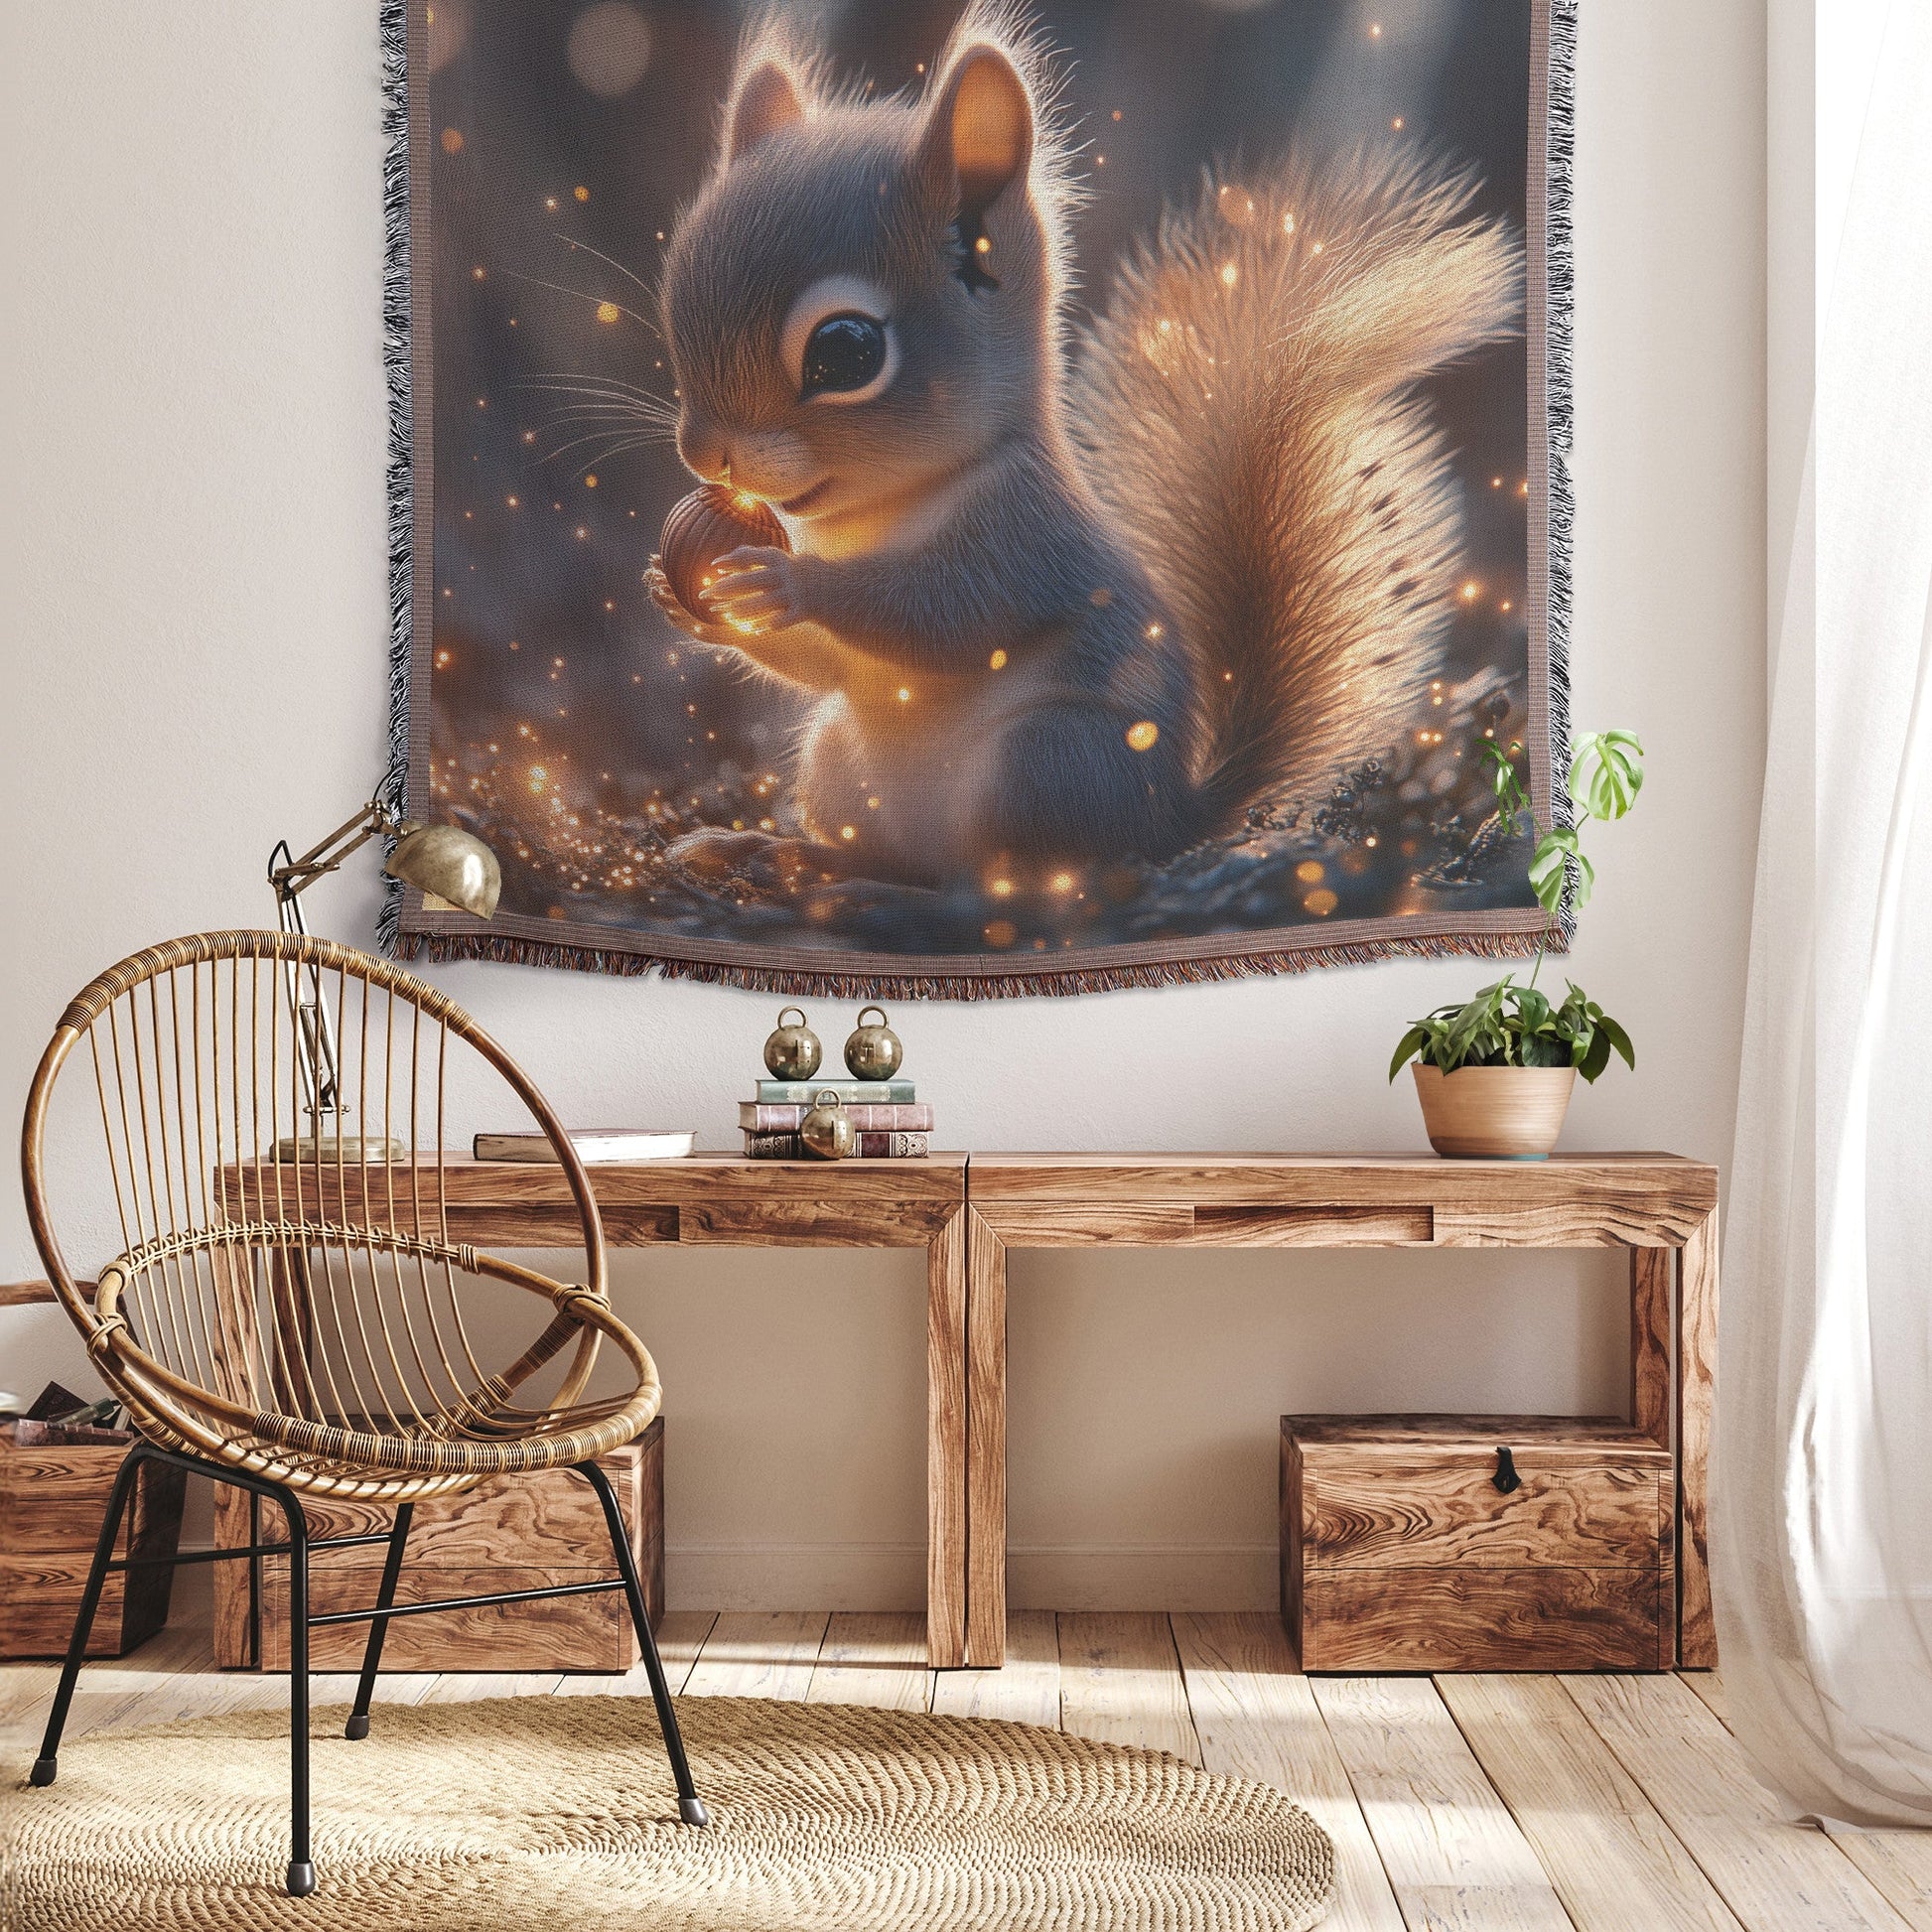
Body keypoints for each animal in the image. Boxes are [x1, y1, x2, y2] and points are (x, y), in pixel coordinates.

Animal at [647, 0, 1521, 894]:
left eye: (846, 352)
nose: (706, 456)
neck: (885, 510)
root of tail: (1166, 822)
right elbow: (826, 666)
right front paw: (681, 598)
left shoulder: (1027, 541)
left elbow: (943, 613)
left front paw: (791, 582)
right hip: (837, 759)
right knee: (899, 854)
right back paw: (786, 853)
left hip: (1046, 763)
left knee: (1014, 881)